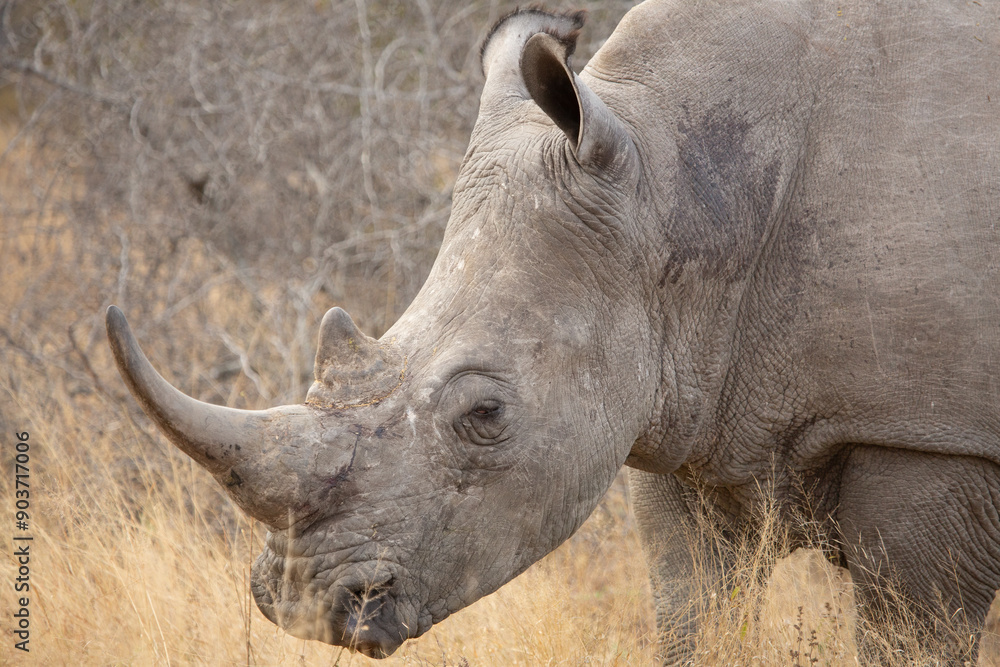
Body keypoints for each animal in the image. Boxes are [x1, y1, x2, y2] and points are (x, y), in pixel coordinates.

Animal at [106, 0, 1000, 661]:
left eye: (486, 414)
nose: (299, 606)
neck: (683, 188)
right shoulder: (698, 404)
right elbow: (695, 618)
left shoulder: (928, 434)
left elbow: (909, 638)